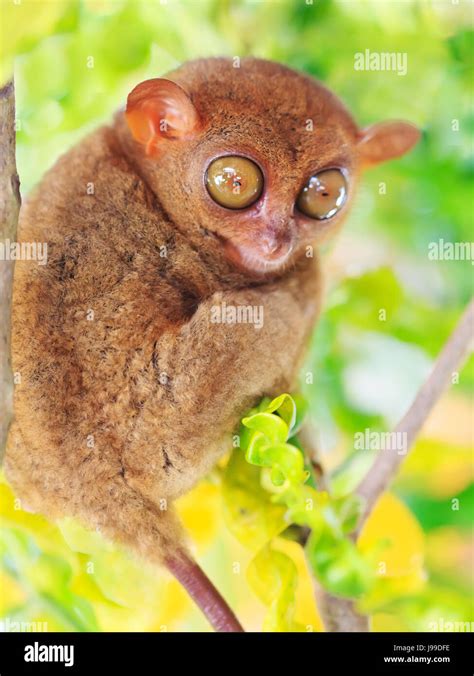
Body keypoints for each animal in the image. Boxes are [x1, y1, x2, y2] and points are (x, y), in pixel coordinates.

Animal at [4, 57, 420, 631]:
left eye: (323, 195)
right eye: (233, 183)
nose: (277, 242)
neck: (139, 168)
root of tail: (102, 501)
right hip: (172, 419)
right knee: (299, 292)